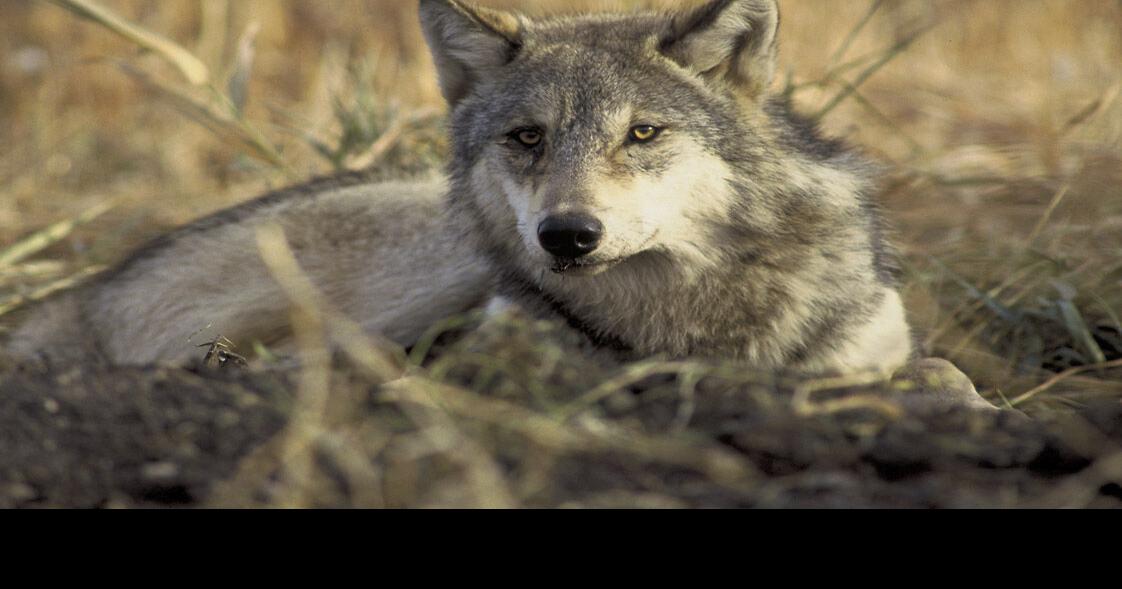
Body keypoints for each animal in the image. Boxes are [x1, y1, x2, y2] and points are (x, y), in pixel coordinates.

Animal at [5, 0, 989, 407]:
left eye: (642, 134)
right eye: (528, 137)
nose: (568, 235)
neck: (692, 317)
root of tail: (82, 293)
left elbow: (944, 372)